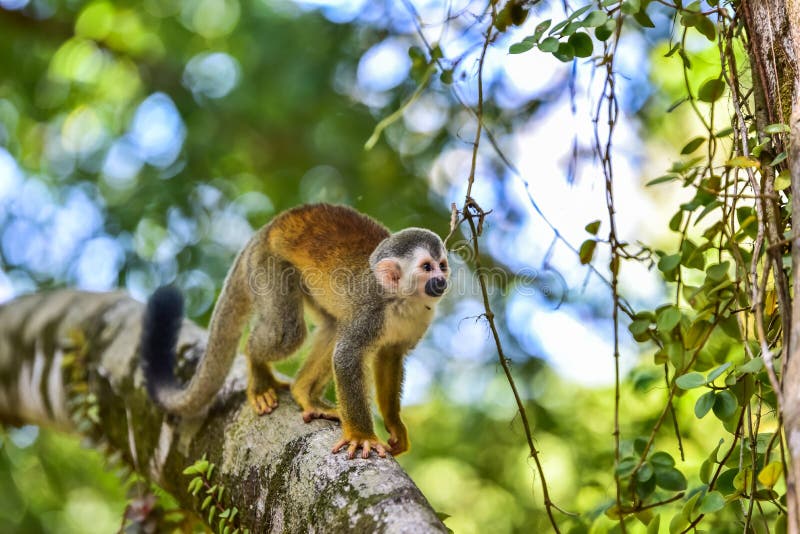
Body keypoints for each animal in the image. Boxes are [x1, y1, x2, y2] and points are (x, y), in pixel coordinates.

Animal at [140, 203, 449, 459]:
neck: (400, 300)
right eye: (426, 267)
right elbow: (347, 356)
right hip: (267, 266)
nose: (442, 280)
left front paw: (394, 424)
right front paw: (362, 436)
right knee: (287, 333)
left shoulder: (419, 320)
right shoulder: (371, 311)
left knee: (333, 326)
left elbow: (389, 356)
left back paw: (304, 392)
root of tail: (263, 232)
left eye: (442, 265)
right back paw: (258, 369)